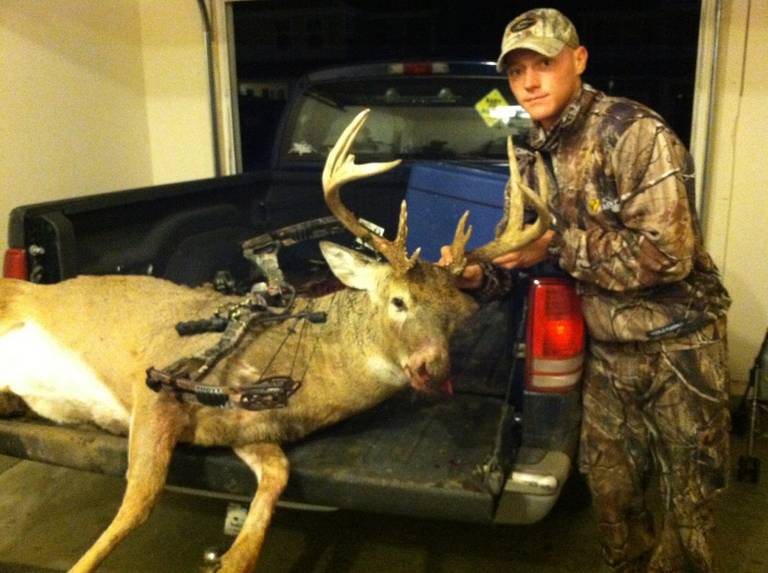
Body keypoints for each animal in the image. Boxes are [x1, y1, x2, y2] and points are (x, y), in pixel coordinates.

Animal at [0, 109, 550, 573]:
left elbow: (273, 485)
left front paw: (227, 560)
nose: (433, 370)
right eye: (399, 300)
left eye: (459, 316)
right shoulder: (156, 381)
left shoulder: (251, 430)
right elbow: (138, 501)